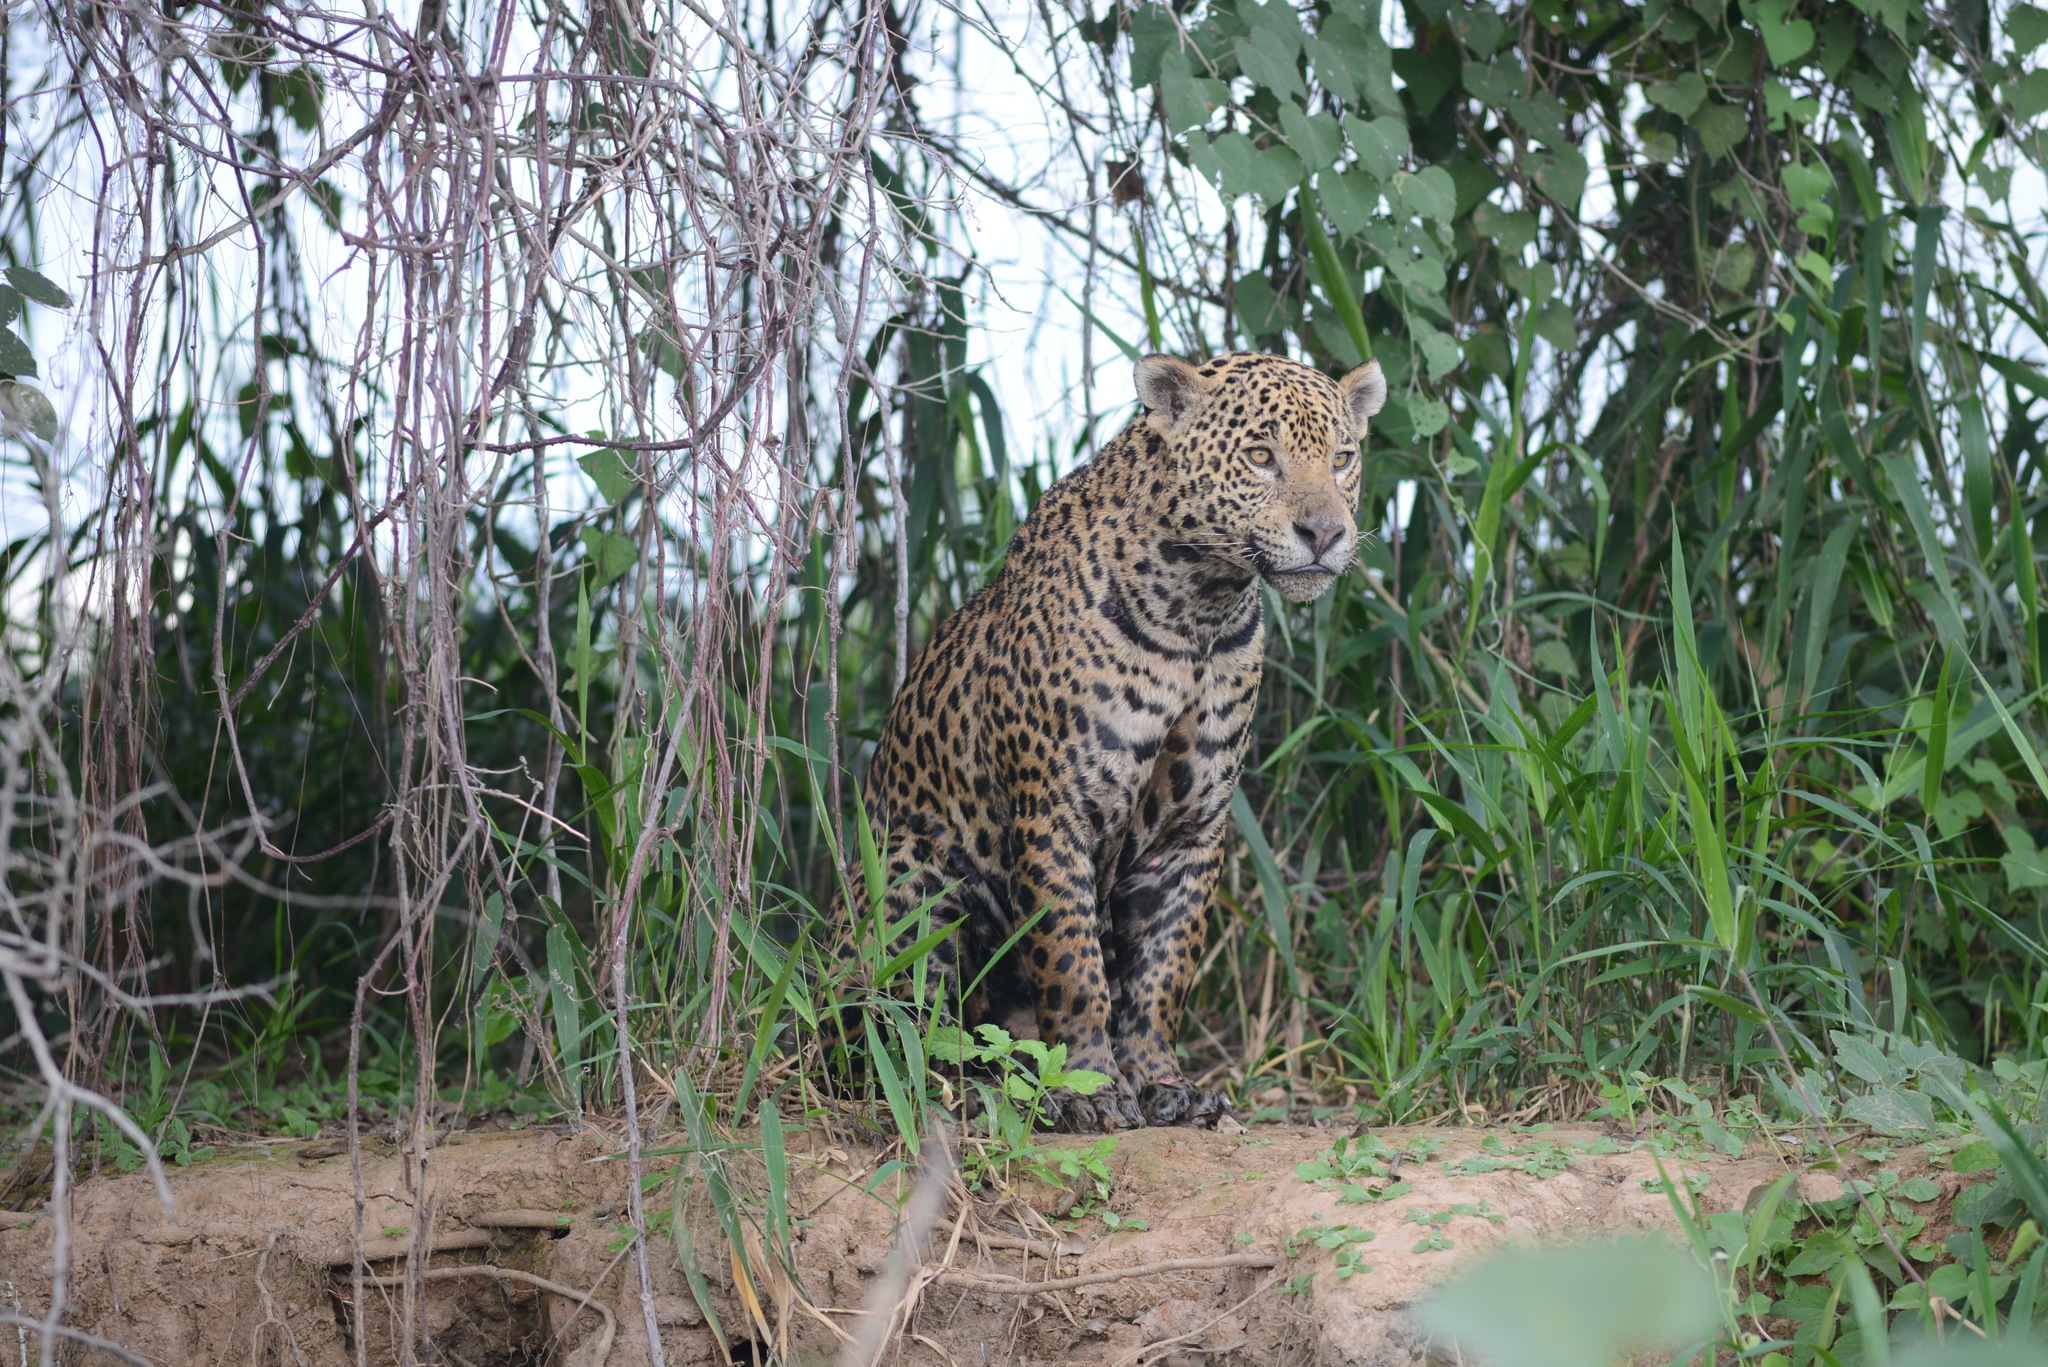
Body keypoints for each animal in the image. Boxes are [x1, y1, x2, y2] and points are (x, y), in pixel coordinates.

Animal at [838, 350, 1386, 1132]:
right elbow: (1073, 964)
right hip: (913, 873)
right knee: (894, 1026)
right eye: (1261, 456)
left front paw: (1163, 1083)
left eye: (1342, 459)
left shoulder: (1190, 829)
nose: (1326, 533)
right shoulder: (1056, 810)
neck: (1201, 608)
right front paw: (1088, 1089)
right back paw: (960, 1086)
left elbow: (1162, 971)